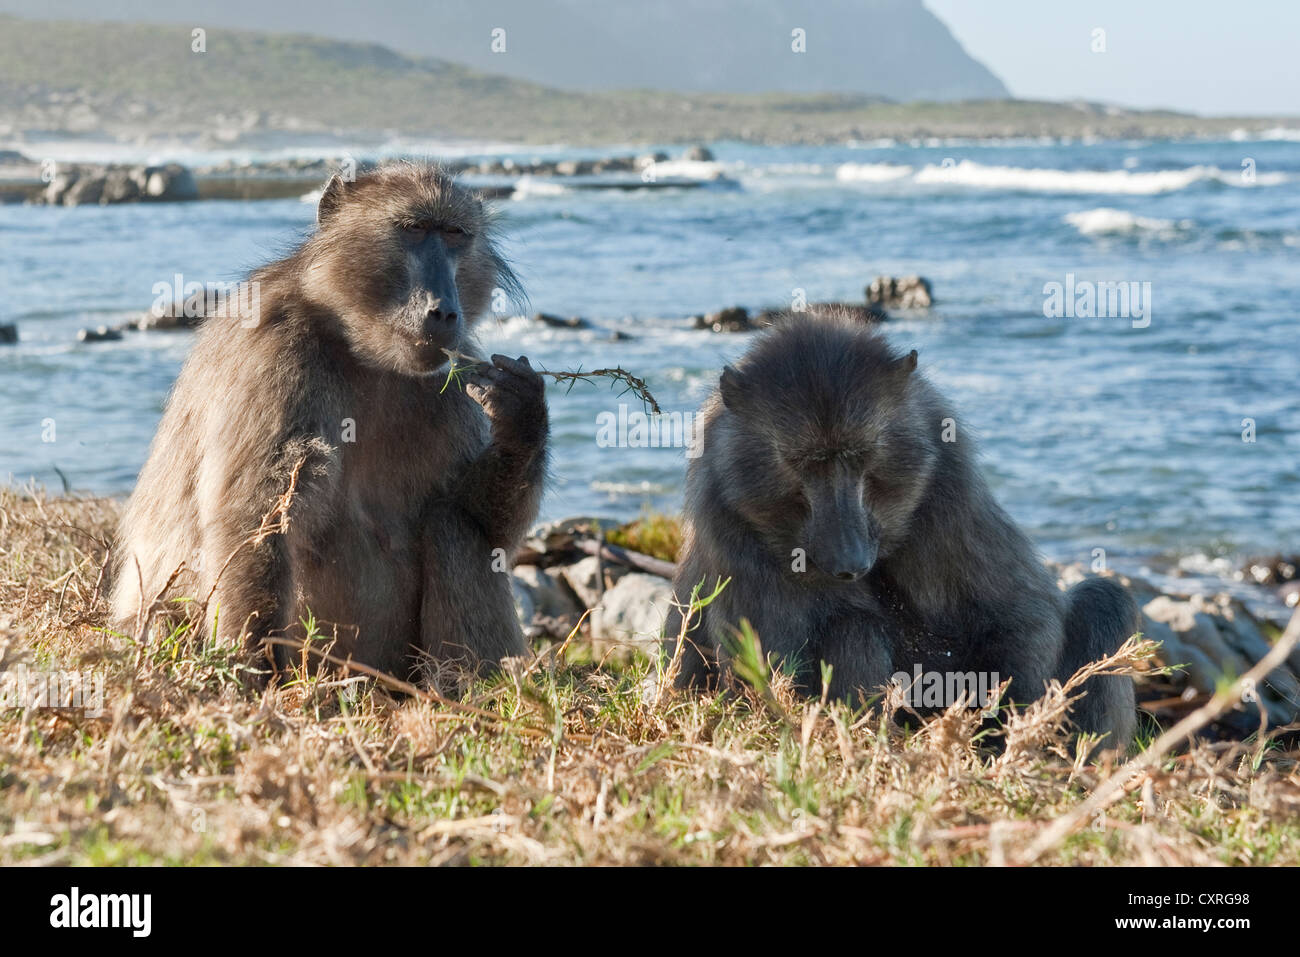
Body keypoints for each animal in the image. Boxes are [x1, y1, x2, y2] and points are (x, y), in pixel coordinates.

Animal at [109, 161, 547, 684]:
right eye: (414, 229)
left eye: (455, 235)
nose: (444, 310)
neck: (361, 347)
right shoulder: (272, 351)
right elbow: (255, 514)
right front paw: (251, 670)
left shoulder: (455, 377)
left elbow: (493, 531)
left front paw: (521, 417)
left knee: (452, 522)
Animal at [663, 310, 1137, 753]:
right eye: (807, 463)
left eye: (858, 456)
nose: (850, 562)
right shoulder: (726, 520)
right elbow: (772, 677)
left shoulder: (951, 485)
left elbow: (1022, 612)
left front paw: (1009, 734)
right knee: (855, 629)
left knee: (1103, 599)